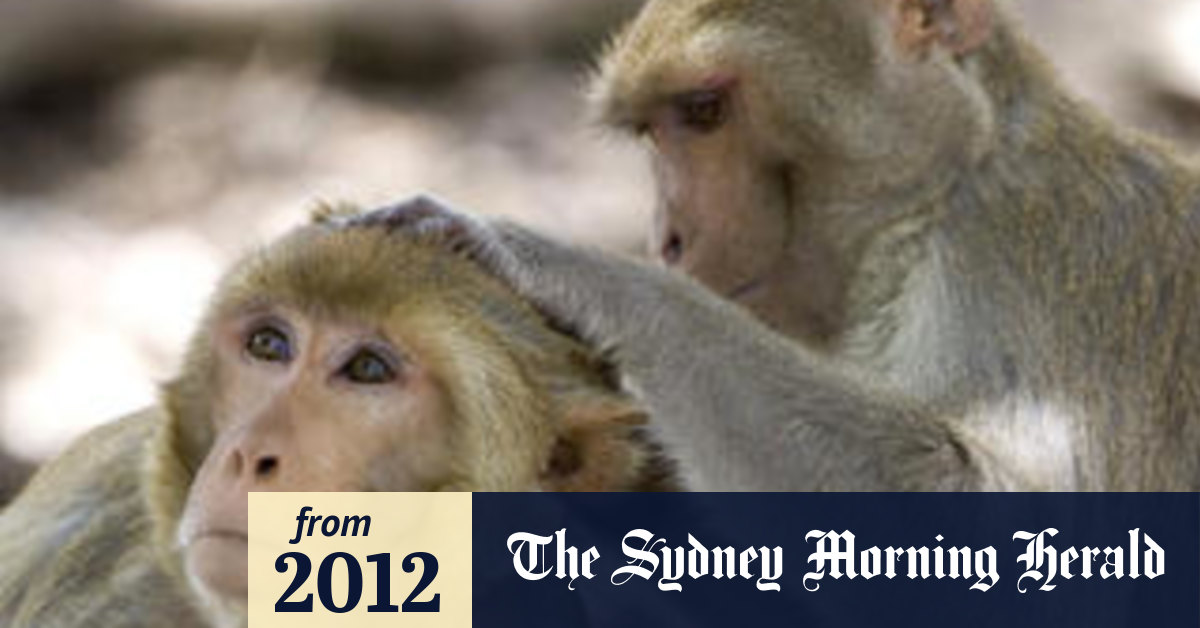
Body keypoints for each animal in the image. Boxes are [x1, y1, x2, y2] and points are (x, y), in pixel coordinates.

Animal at [358, 0, 1200, 493]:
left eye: (702, 110)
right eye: (651, 130)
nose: (666, 237)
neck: (941, 195)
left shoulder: (1004, 258)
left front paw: (557, 265)